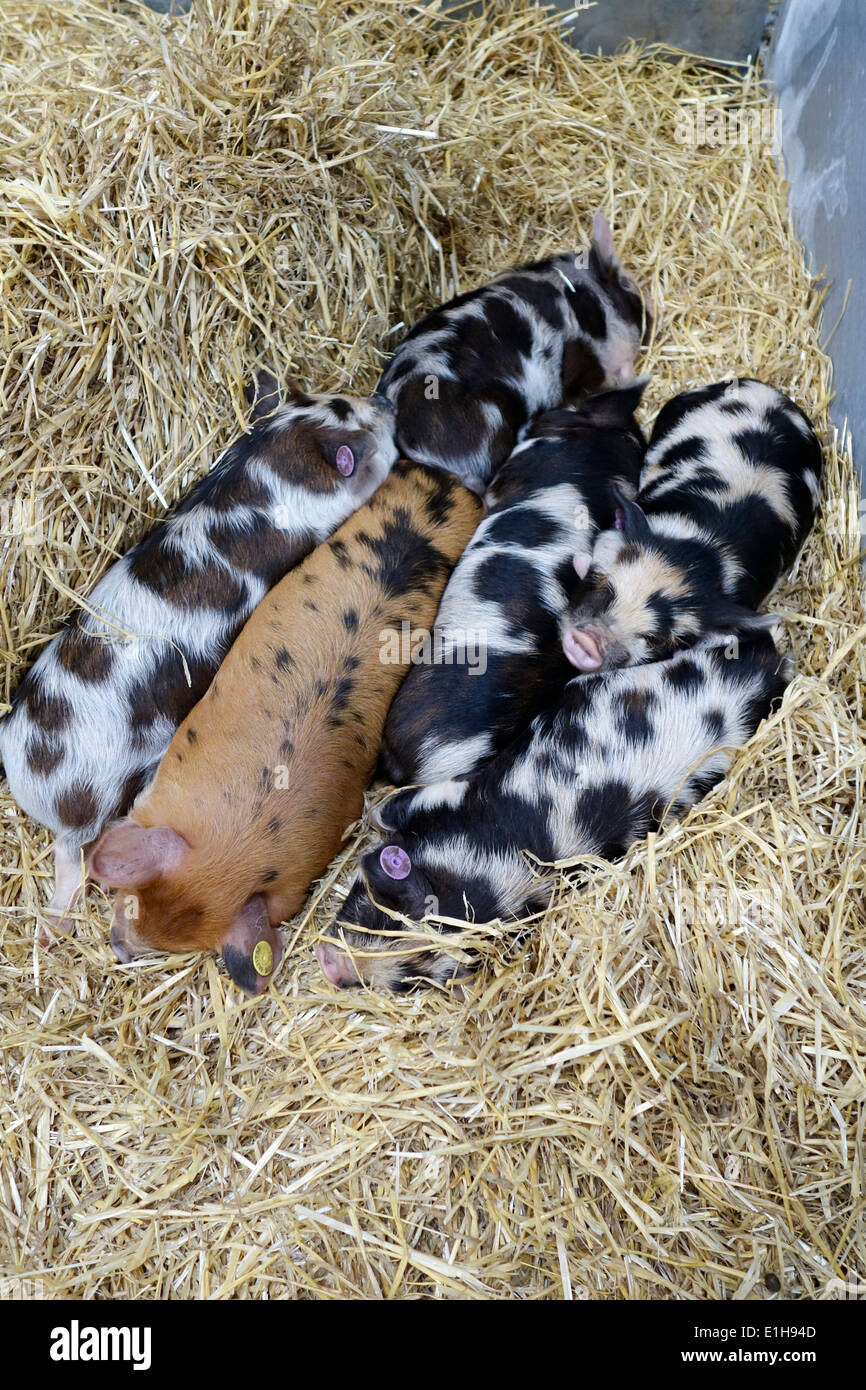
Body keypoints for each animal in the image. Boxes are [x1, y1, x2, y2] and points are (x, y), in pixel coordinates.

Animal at [0, 375, 398, 935]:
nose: (383, 400)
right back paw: (55, 927)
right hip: (92, 804)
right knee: (72, 860)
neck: (270, 465)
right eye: (343, 408)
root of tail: (31, 778)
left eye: (325, 396)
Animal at [317, 632, 792, 992]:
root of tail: (766, 667)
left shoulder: (458, 796)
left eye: (408, 978)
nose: (330, 965)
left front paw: (376, 813)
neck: (504, 860)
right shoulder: (464, 794)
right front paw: (374, 813)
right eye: (379, 917)